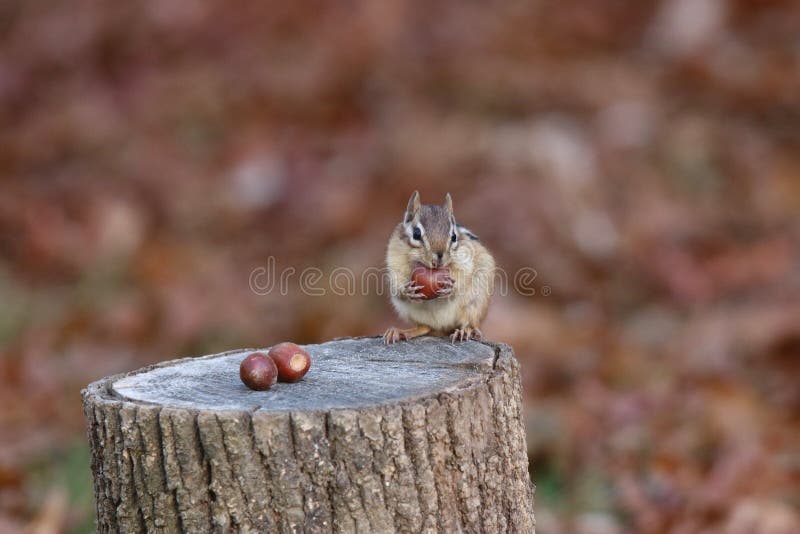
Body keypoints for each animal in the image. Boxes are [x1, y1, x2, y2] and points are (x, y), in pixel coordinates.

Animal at [383, 191, 496, 343]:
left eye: (454, 237)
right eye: (416, 234)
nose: (438, 259)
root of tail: (442, 329)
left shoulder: (466, 258)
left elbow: (464, 273)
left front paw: (451, 287)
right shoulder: (394, 259)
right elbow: (397, 281)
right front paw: (407, 291)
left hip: (475, 302)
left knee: (468, 322)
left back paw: (465, 331)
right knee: (424, 328)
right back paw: (400, 332)